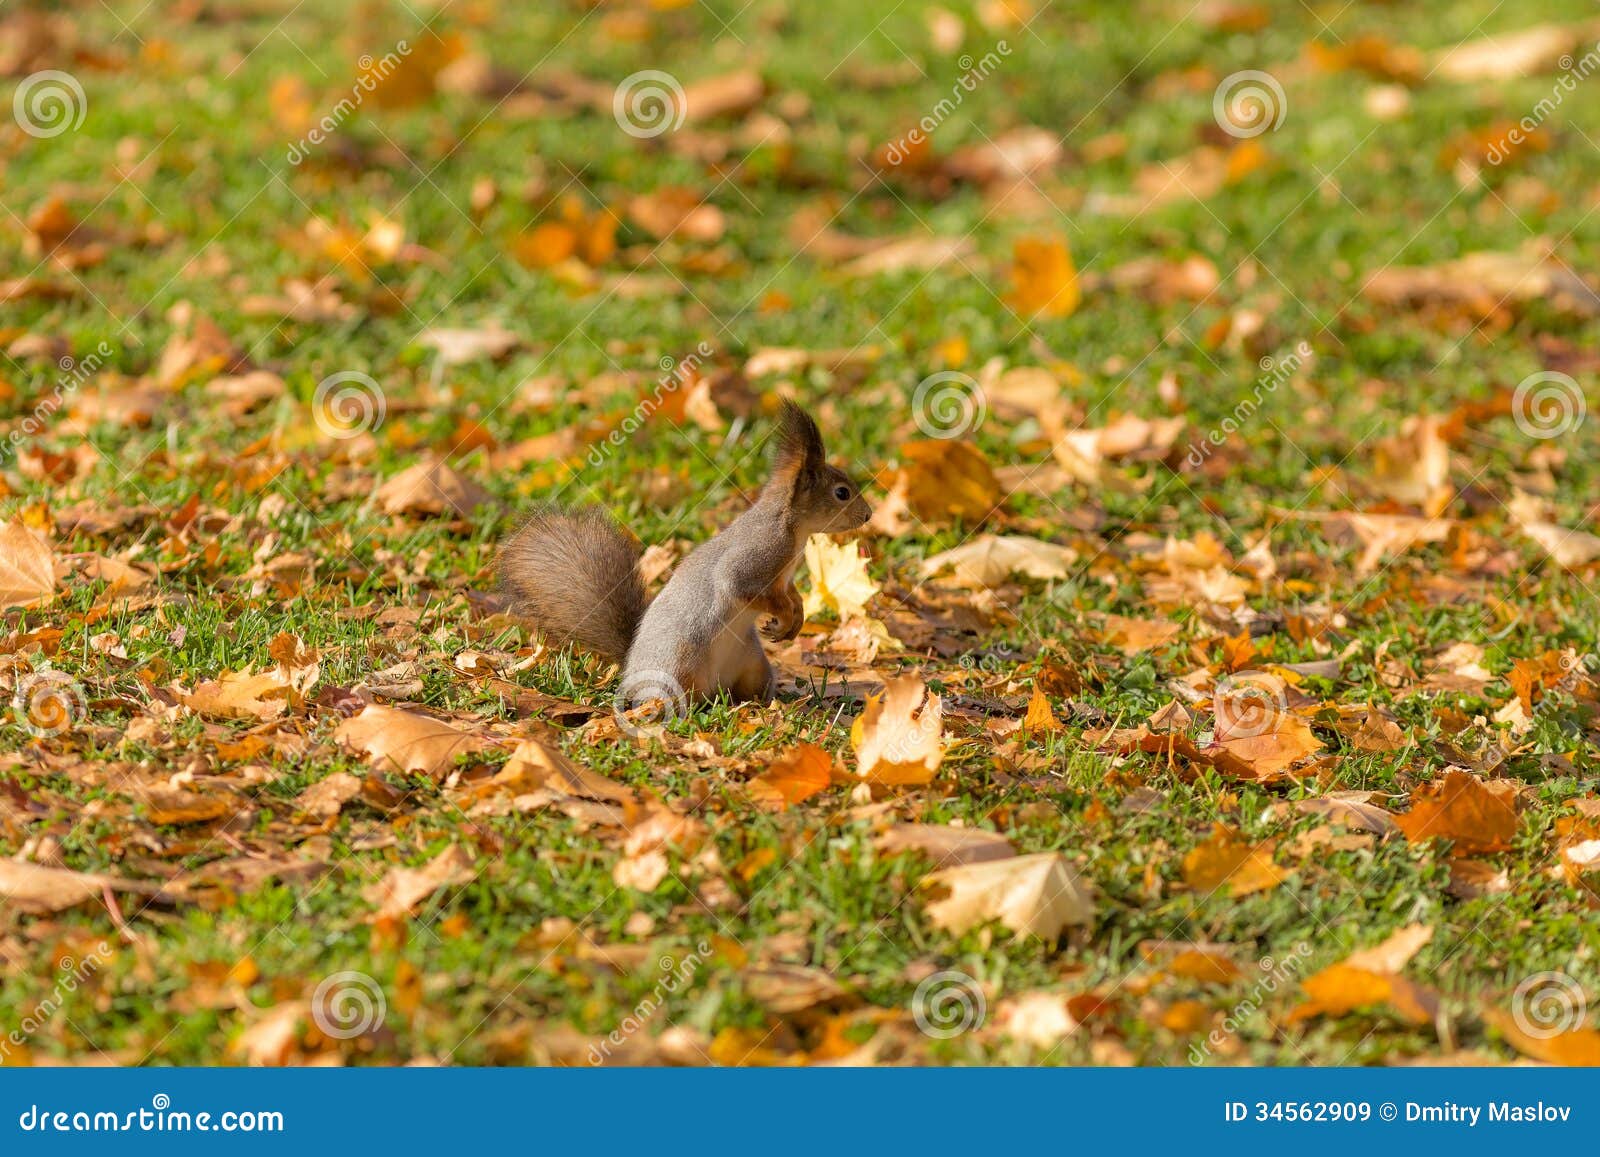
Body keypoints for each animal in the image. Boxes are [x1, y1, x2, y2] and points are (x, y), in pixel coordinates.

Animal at [498, 401, 872, 708]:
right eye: (841, 493)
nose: (868, 515)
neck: (793, 531)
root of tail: (632, 669)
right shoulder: (755, 557)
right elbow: (742, 588)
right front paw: (780, 619)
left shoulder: (785, 577)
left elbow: (792, 594)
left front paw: (797, 618)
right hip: (679, 668)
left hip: (753, 665)